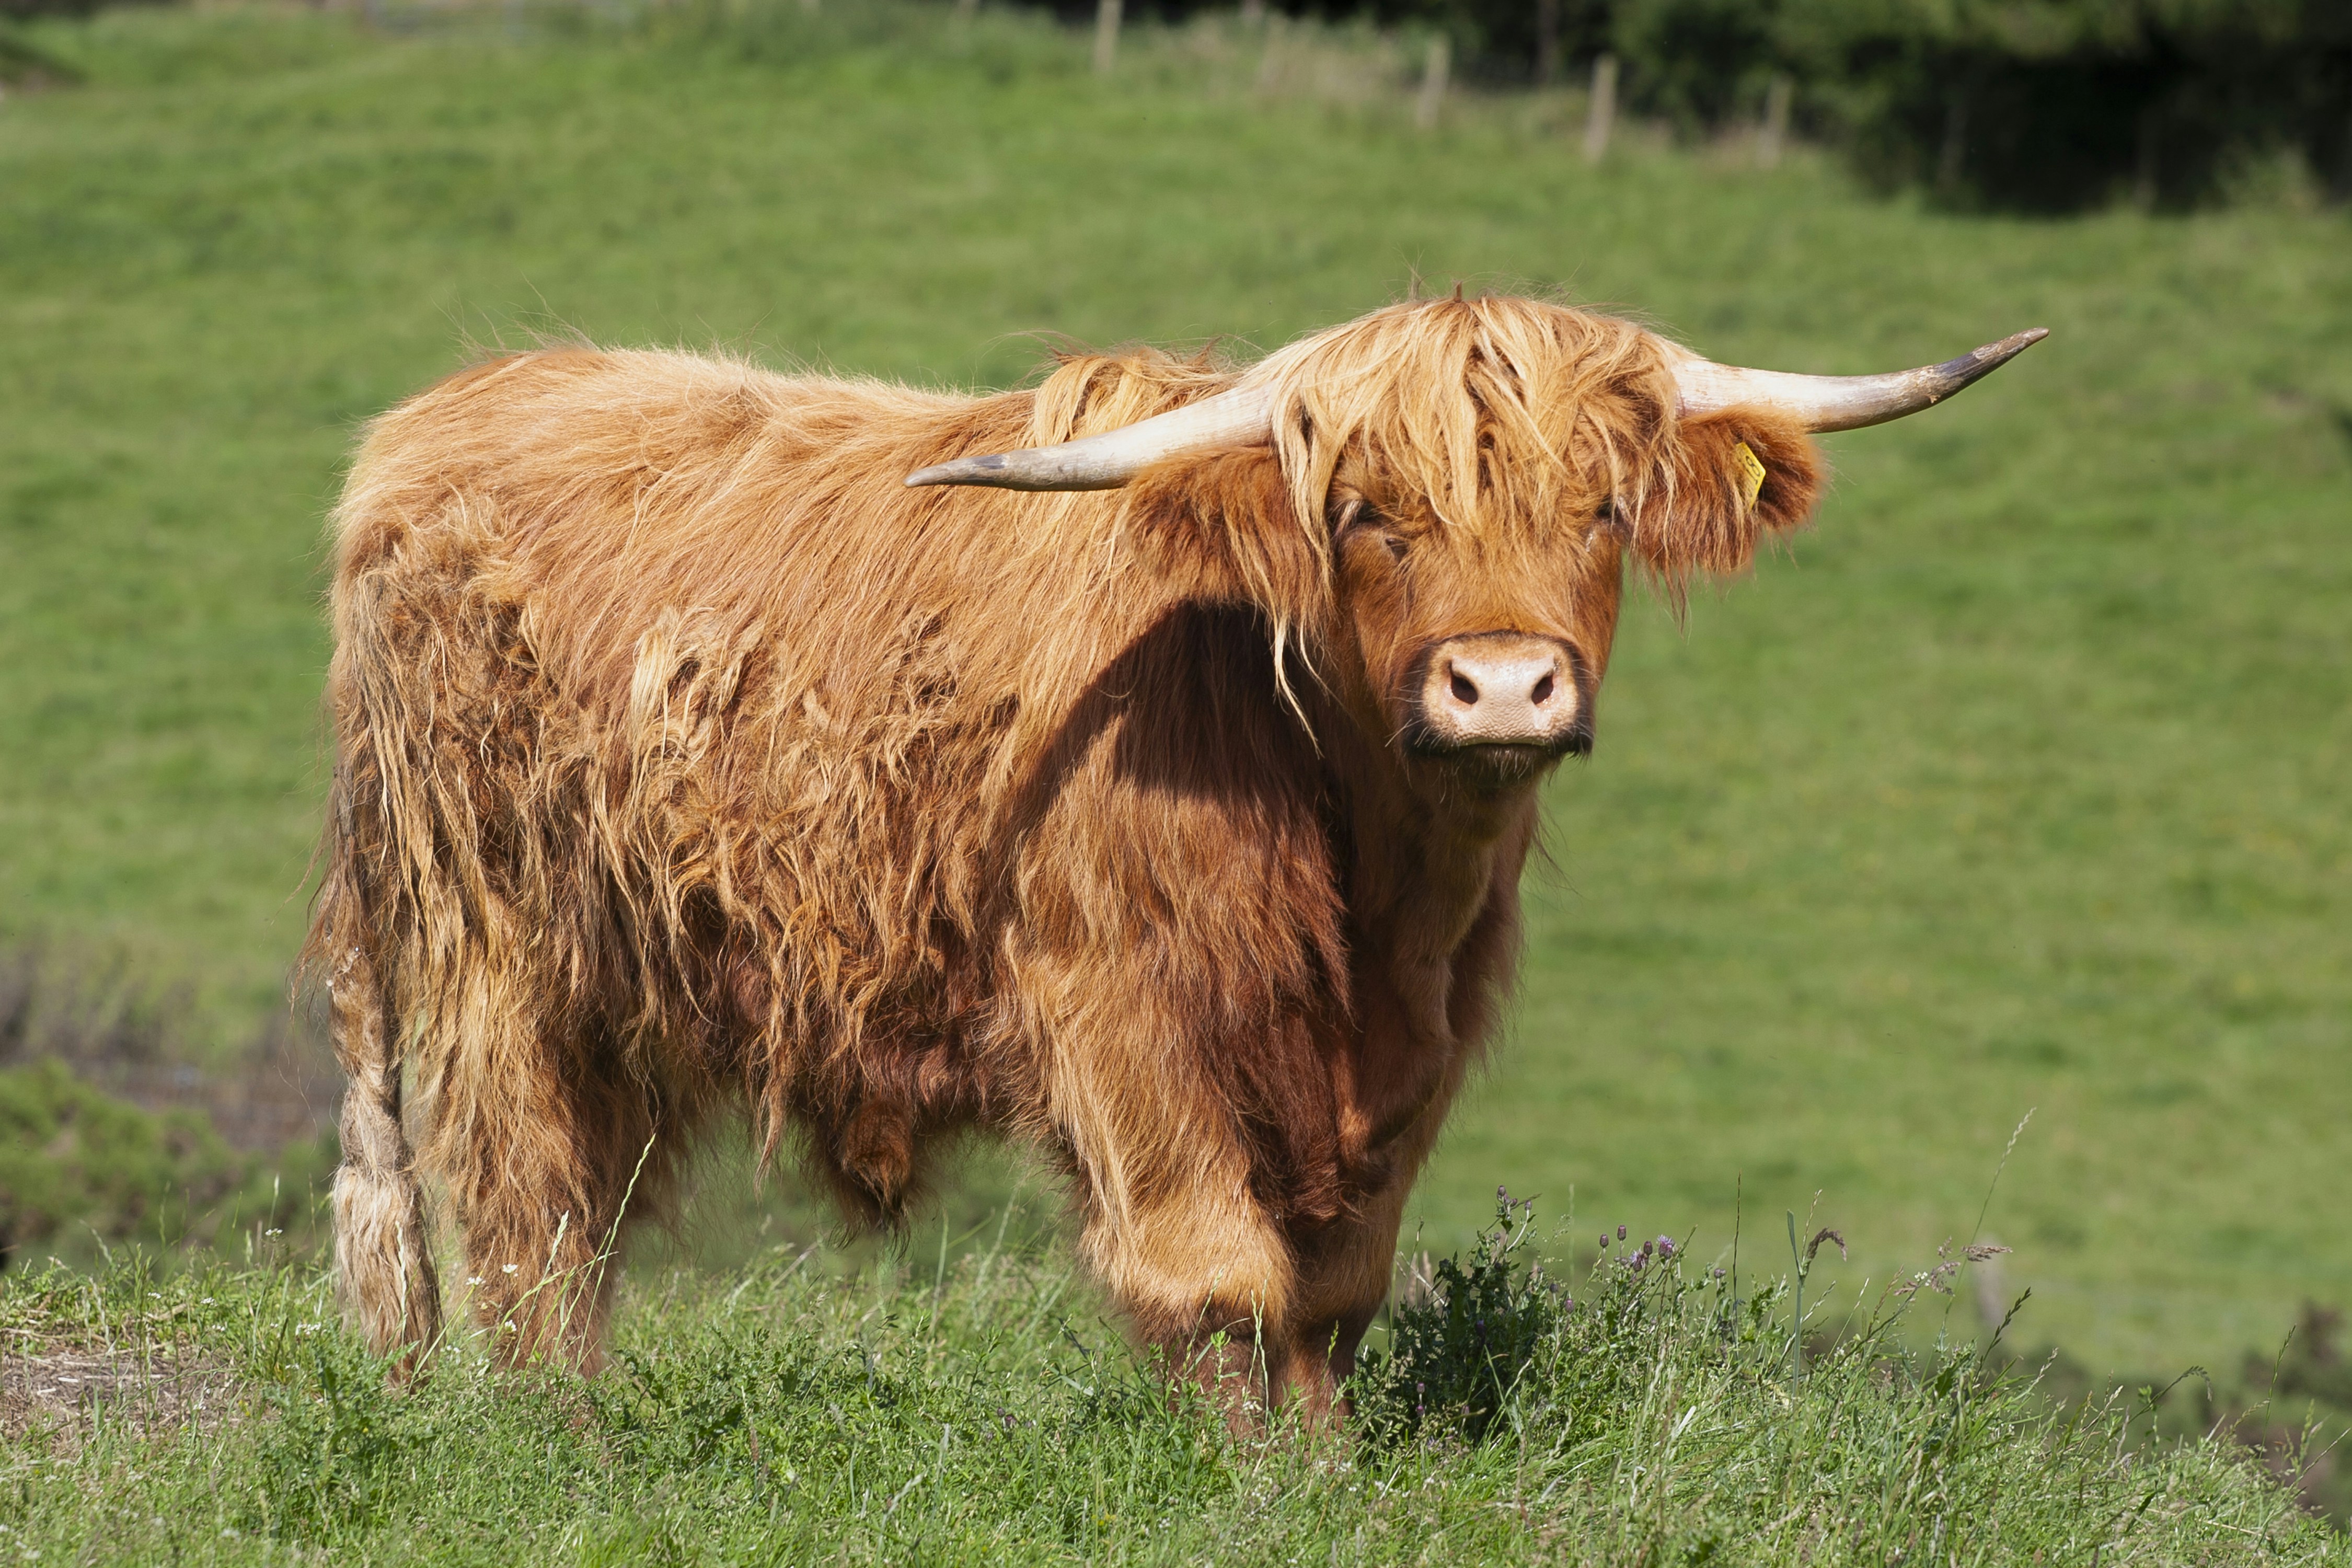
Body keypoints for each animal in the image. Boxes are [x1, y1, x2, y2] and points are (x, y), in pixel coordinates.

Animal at [306, 295, 2040, 1415]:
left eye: (1603, 514)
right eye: (1368, 516)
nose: (1500, 688)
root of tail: (436, 421)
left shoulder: (1414, 1049)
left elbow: (1330, 1295)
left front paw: (1332, 1481)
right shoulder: (1114, 1012)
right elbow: (1215, 1278)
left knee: (582, 1205)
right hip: (484, 946)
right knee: (517, 1204)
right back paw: (556, 1440)